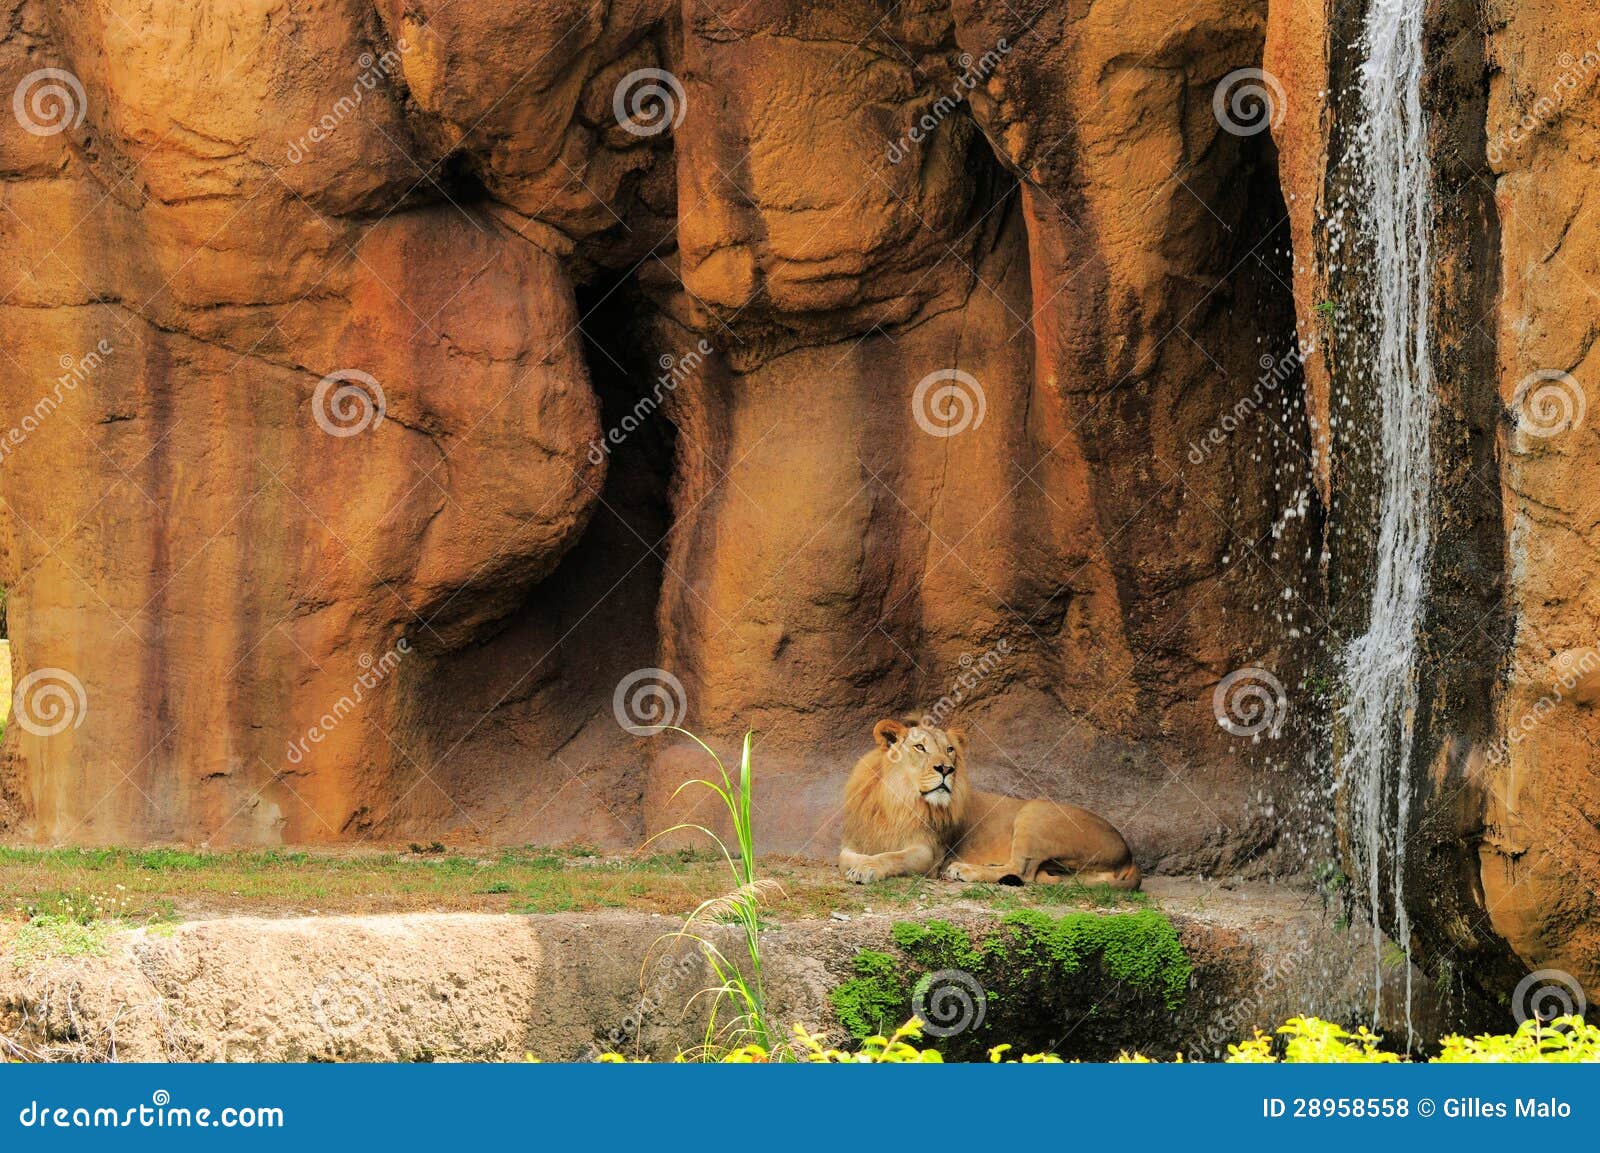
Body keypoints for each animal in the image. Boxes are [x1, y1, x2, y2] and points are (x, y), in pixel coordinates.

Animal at [838, 718, 1140, 889]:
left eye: (950, 750)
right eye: (920, 747)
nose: (946, 768)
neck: (899, 800)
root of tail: (1128, 853)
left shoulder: (930, 852)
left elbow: (893, 856)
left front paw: (867, 868)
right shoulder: (854, 841)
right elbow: (847, 857)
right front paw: (860, 863)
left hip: (1035, 811)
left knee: (1022, 871)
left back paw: (964, 870)